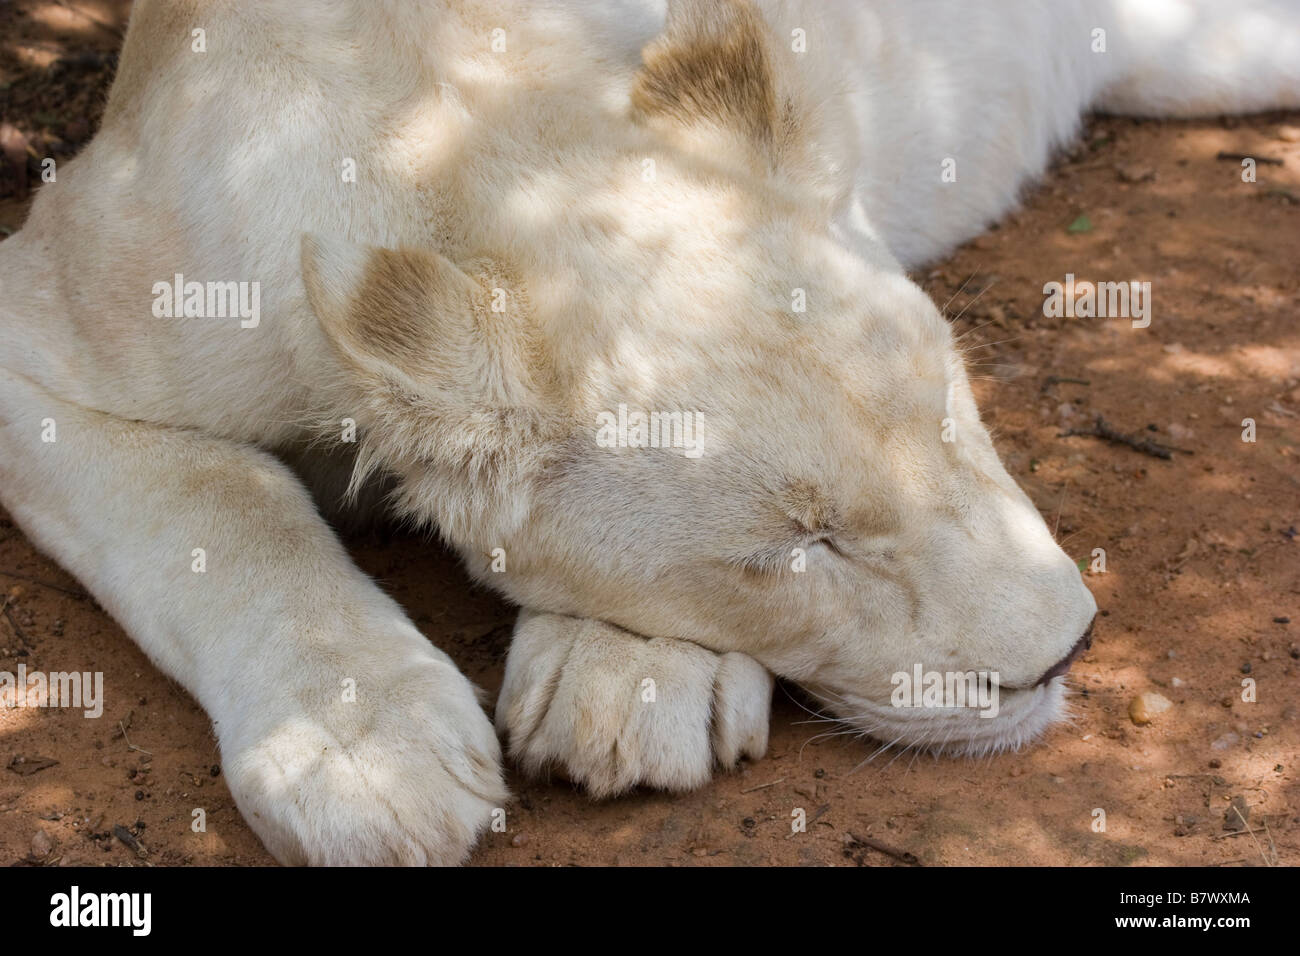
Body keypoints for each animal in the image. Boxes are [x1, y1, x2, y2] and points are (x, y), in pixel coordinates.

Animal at [0, 0, 1295, 864]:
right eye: (796, 550)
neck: (452, 135)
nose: (1067, 653)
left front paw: (626, 682)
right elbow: (219, 504)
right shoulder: (37, 326)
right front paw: (363, 753)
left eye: (953, 408)